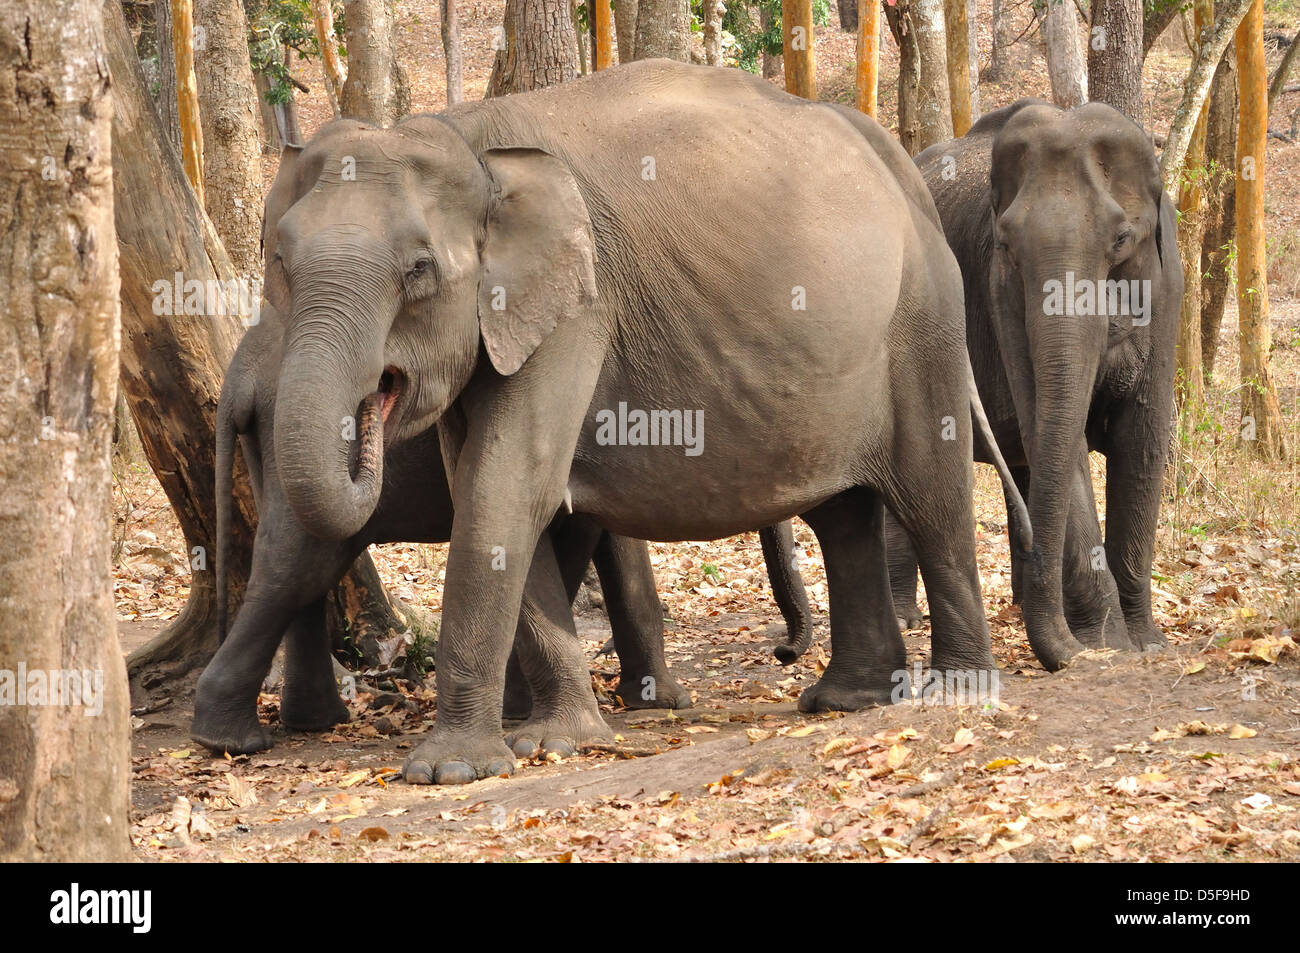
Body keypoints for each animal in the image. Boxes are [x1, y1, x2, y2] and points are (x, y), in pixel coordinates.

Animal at [192, 300, 813, 755]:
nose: (784, 652)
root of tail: (238, 376)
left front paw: (646, 702)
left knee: (299, 566)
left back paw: (310, 723)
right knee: (296, 566)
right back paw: (233, 740)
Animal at [261, 59, 1030, 785]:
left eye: (420, 270)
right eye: (280, 263)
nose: (371, 414)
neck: (469, 137)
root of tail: (901, 165)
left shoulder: (578, 307)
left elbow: (507, 487)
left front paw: (449, 770)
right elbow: (489, 487)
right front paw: (558, 743)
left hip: (924, 322)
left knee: (932, 497)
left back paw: (953, 696)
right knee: (843, 516)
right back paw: (845, 700)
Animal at [889, 100, 1181, 670]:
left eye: (1121, 240)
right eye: (1007, 245)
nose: (1066, 654)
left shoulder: (1168, 290)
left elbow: (1143, 440)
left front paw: (1147, 643)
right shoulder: (1000, 295)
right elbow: (1058, 439)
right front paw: (1106, 644)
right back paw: (907, 619)